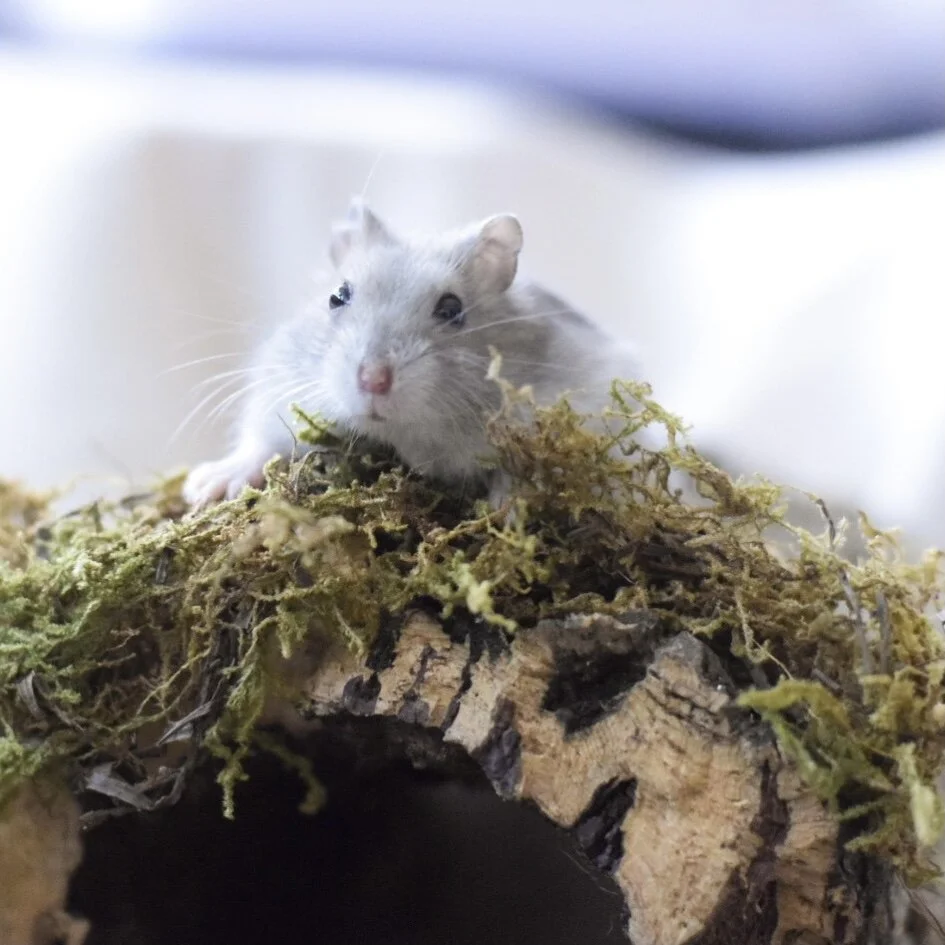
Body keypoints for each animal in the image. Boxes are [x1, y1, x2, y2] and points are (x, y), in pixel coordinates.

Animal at [182, 198, 641, 509]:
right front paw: (204, 487)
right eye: (337, 295)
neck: (408, 432)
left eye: (452, 309)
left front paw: (507, 508)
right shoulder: (278, 384)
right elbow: (261, 441)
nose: (373, 381)